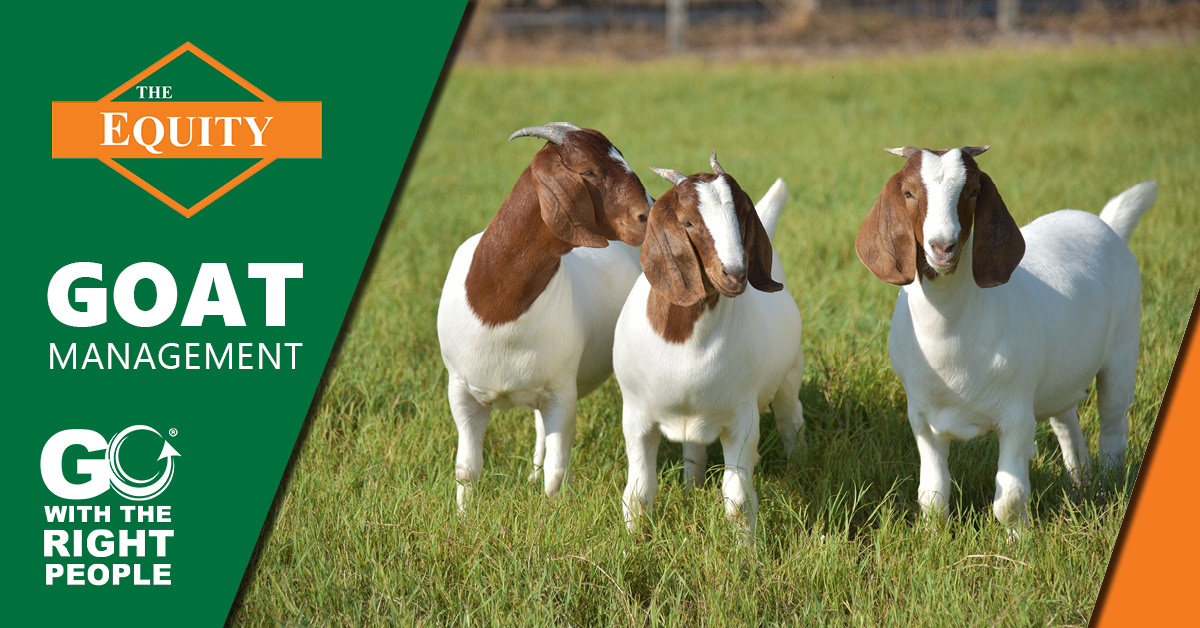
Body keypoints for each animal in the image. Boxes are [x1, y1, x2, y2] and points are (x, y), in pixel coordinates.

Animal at [437, 122, 653, 509]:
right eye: (588, 172)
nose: (651, 213)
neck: (497, 306)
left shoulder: (561, 392)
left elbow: (556, 474)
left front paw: (551, 514)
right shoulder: (460, 389)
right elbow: (466, 470)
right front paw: (462, 515)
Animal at [614, 152, 804, 533]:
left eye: (743, 216)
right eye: (687, 222)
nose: (735, 274)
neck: (687, 343)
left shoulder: (742, 418)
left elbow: (738, 499)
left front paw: (746, 548)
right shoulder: (636, 414)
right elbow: (638, 492)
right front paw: (631, 541)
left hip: (790, 375)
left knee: (791, 420)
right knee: (694, 451)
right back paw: (692, 487)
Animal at [855, 144, 1156, 527]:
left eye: (971, 192)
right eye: (908, 192)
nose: (942, 247)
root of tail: (1107, 226)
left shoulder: (1015, 416)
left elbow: (1010, 498)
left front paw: (1019, 539)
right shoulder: (921, 418)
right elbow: (932, 496)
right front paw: (933, 534)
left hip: (1122, 350)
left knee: (1114, 423)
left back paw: (1106, 486)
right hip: (1060, 375)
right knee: (1066, 421)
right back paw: (1080, 481)